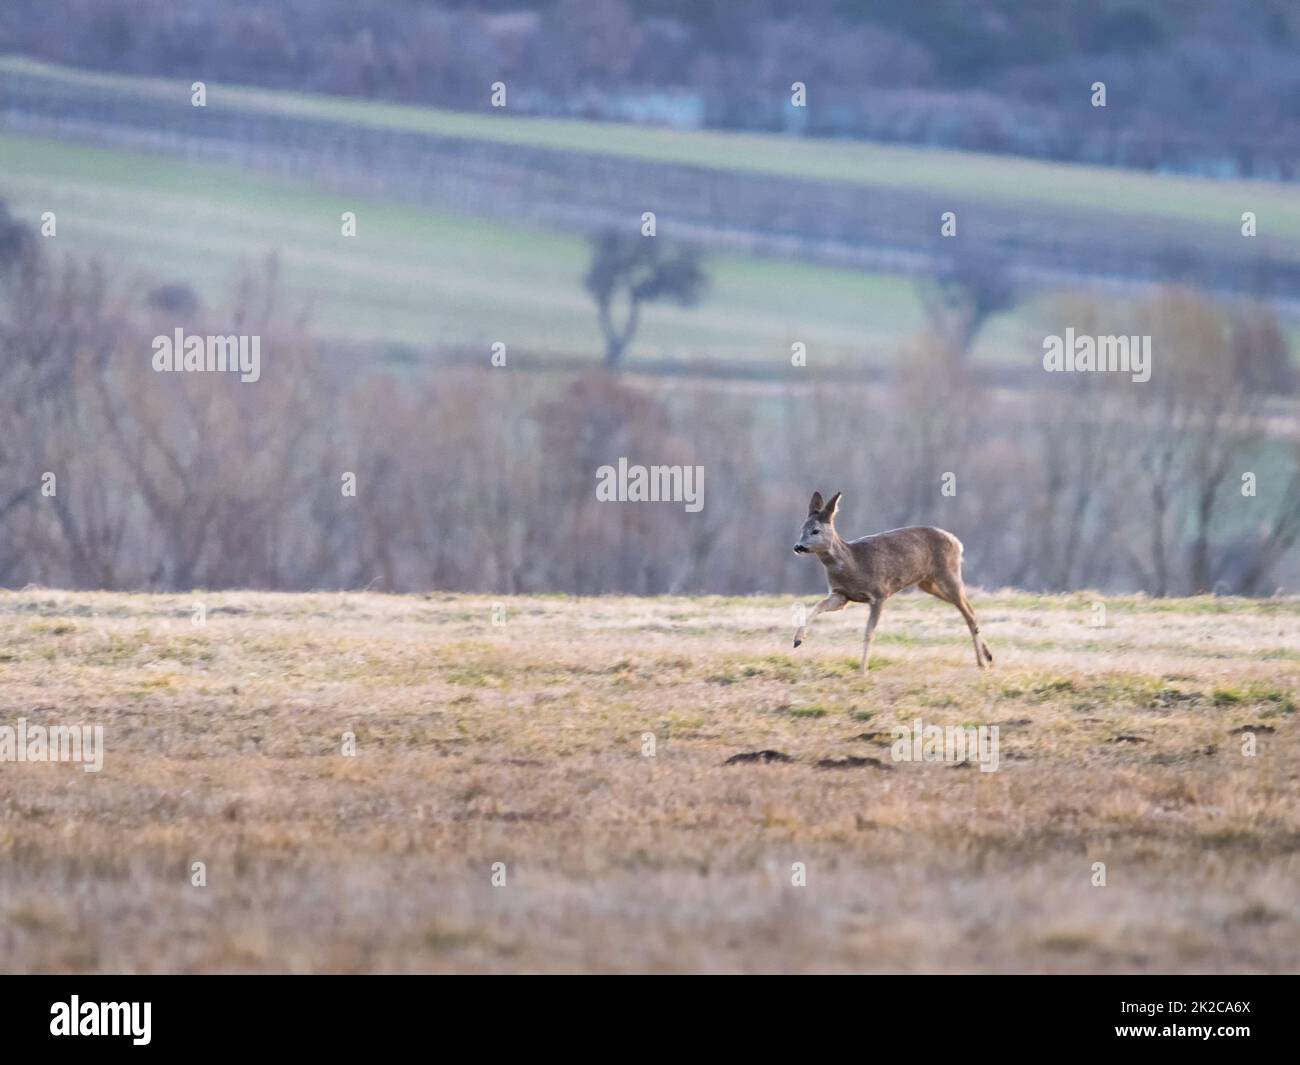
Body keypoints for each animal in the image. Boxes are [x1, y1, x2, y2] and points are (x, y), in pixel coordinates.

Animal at [791, 491, 992, 675]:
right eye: (801, 528)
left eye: (815, 530)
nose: (798, 546)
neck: (853, 563)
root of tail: (957, 542)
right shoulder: (841, 595)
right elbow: (818, 606)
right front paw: (797, 640)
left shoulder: (878, 593)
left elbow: (868, 632)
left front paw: (863, 670)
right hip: (928, 583)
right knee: (969, 608)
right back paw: (988, 656)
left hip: (948, 574)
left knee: (969, 613)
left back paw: (982, 663)